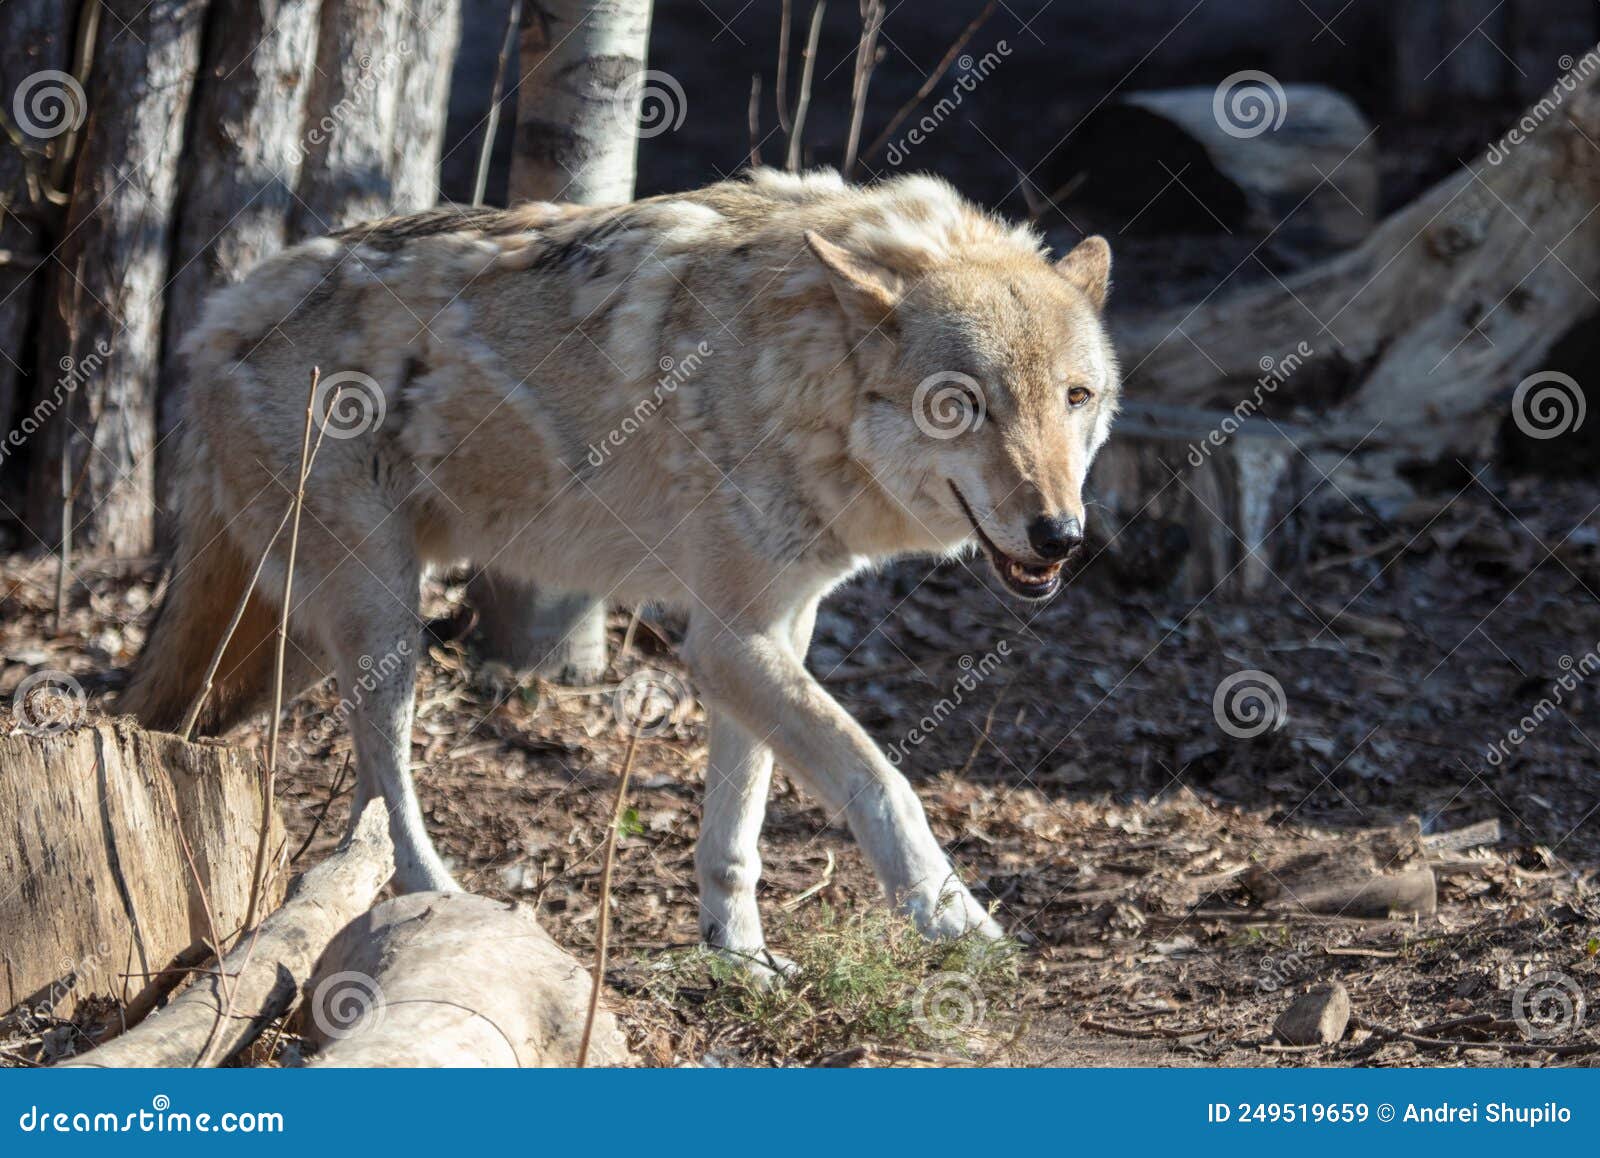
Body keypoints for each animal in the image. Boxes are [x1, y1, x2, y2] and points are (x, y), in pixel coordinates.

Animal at [122, 168, 1119, 975]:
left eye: (1076, 397)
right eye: (962, 404)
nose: (1061, 535)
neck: (792, 367)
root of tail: (218, 317)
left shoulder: (768, 636)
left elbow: (738, 831)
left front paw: (740, 958)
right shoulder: (726, 641)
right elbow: (884, 781)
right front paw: (956, 921)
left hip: (301, 641)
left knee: (222, 738)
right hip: (385, 627)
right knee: (380, 784)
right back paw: (437, 894)